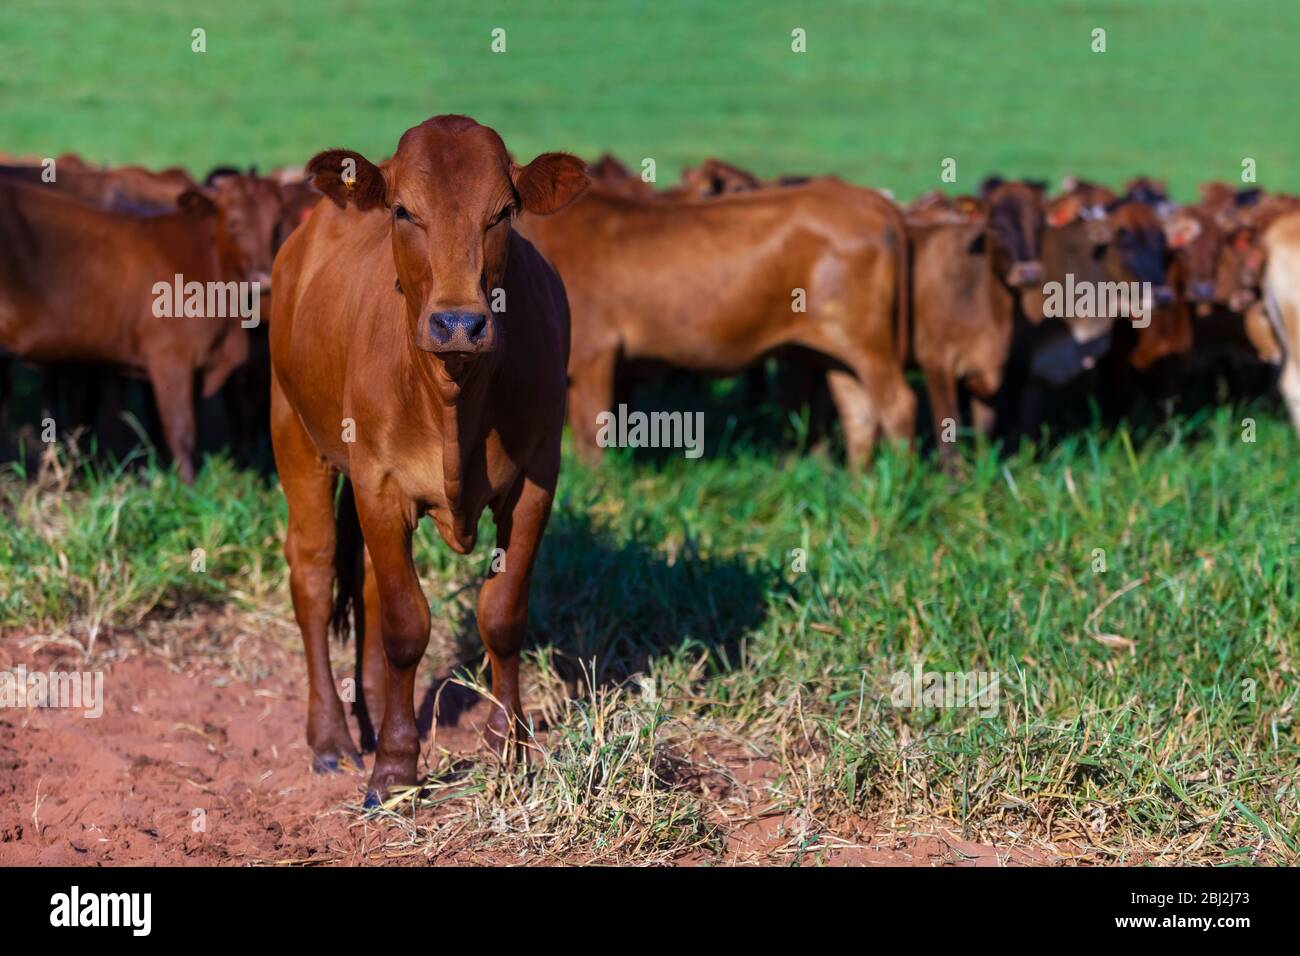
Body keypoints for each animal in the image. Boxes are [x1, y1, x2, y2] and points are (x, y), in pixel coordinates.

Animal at [269, 115, 588, 803]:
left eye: (503, 212)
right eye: (403, 210)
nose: (458, 324)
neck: (452, 395)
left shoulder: (537, 480)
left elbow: (502, 613)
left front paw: (508, 745)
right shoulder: (380, 485)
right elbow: (405, 625)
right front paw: (394, 768)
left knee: (363, 581)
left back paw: (370, 712)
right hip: (295, 435)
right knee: (313, 573)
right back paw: (332, 738)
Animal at [517, 178, 915, 468]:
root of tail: (864, 197)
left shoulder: (593, 353)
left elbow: (590, 435)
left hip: (868, 343)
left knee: (898, 406)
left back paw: (899, 482)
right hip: (837, 349)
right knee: (860, 412)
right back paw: (859, 484)